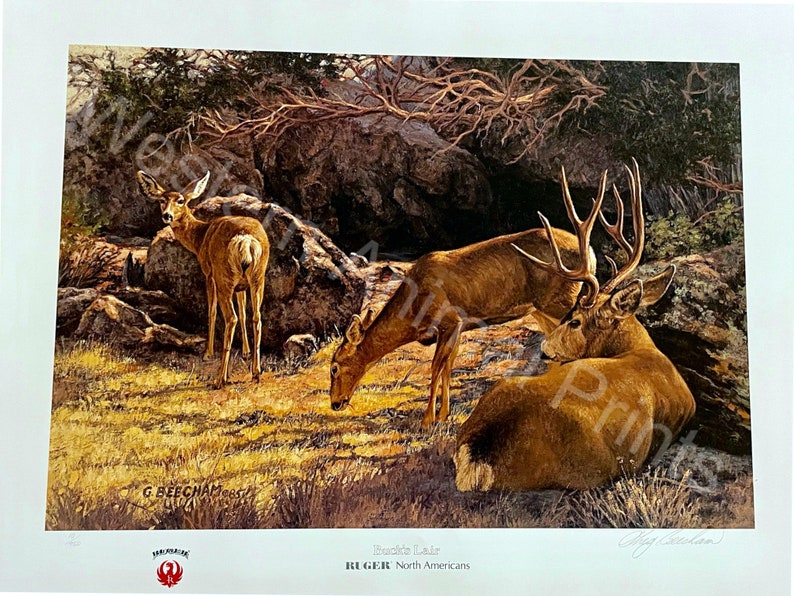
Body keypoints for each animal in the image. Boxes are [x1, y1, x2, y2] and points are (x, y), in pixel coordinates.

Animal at [136, 170, 270, 389]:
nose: (167, 215)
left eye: (180, 200)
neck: (200, 237)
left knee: (230, 317)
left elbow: (212, 311)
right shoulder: (241, 286)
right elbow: (243, 310)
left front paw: (207, 353)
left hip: (224, 276)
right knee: (256, 316)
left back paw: (220, 378)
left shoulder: (208, 272)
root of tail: (245, 240)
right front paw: (246, 352)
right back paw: (256, 372)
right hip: (258, 276)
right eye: (162, 200)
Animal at [330, 167, 612, 428]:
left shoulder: (450, 320)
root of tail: (591, 253)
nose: (335, 403)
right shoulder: (459, 328)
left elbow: (435, 368)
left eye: (334, 367)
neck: (413, 310)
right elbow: (447, 368)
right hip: (543, 310)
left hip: (561, 300)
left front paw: (426, 420)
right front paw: (443, 415)